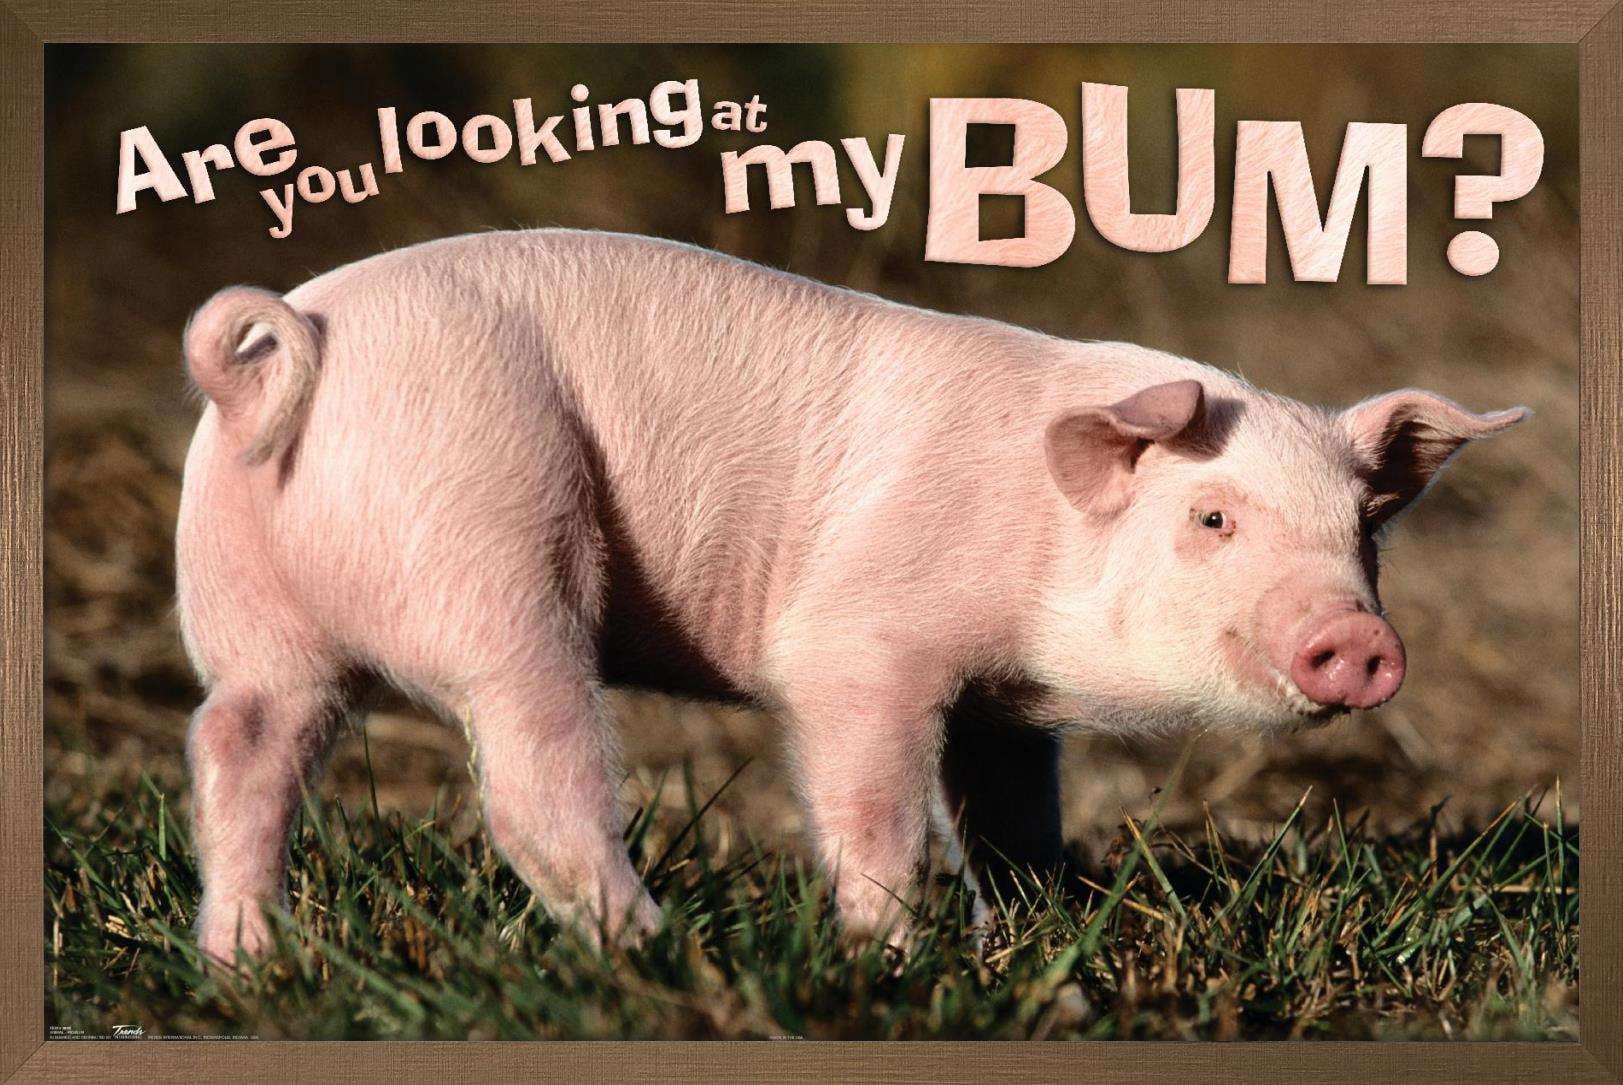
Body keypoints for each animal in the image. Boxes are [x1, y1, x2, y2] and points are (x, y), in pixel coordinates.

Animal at [176, 228, 1527, 961]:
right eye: (1212, 518)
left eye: (1364, 531)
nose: (1357, 637)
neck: (1039, 535)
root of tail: (298, 346)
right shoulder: (858, 643)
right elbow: (875, 806)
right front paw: (894, 956)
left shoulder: (1002, 704)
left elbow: (1011, 818)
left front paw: (1026, 939)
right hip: (487, 538)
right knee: (532, 773)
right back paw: (663, 951)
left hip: (252, 609)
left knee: (241, 736)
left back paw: (251, 964)